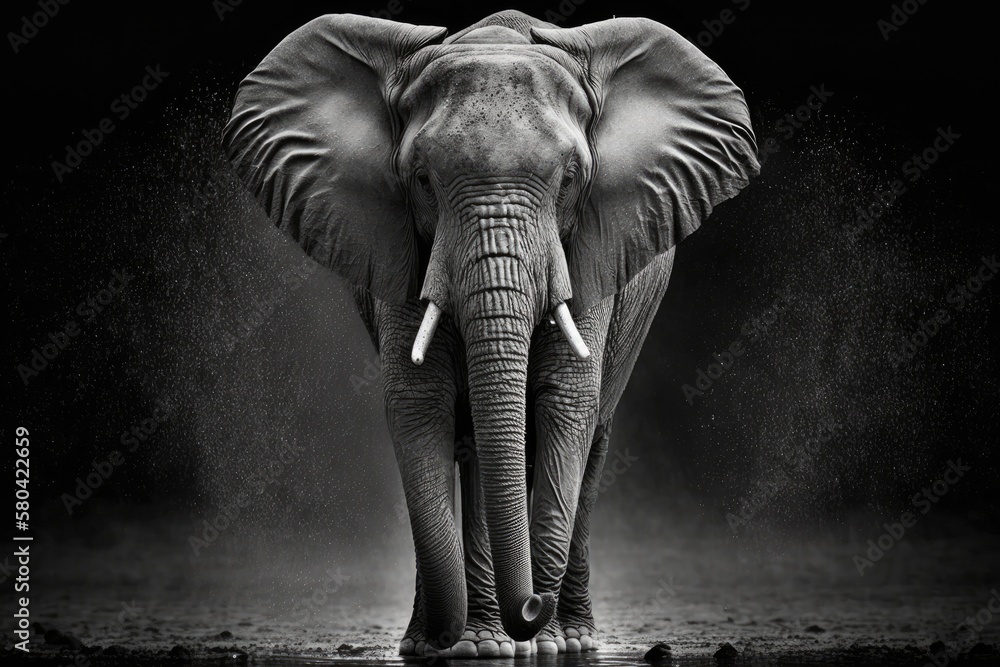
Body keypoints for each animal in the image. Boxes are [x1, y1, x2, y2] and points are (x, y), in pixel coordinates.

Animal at [222, 9, 758, 658]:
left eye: (571, 179)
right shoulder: (401, 246)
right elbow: (420, 403)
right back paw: (469, 641)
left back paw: (564, 638)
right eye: (421, 180)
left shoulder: (591, 247)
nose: (530, 604)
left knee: (591, 438)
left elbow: (563, 402)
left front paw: (542, 644)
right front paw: (459, 646)